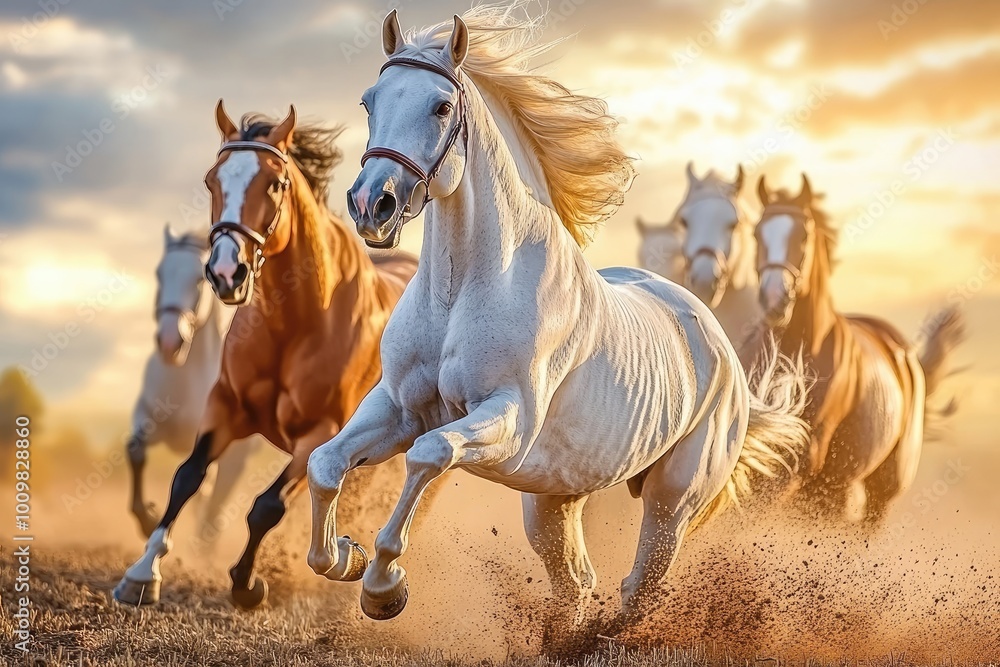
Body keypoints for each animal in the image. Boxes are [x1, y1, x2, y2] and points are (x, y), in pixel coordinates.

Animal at [127, 226, 258, 546]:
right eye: (159, 273)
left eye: (200, 278)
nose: (169, 342)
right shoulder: (146, 419)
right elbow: (135, 452)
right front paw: (146, 519)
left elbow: (202, 486)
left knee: (218, 496)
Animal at [751, 174, 964, 523]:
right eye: (756, 233)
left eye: (803, 236)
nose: (774, 299)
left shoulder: (798, 464)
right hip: (831, 490)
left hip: (876, 491)